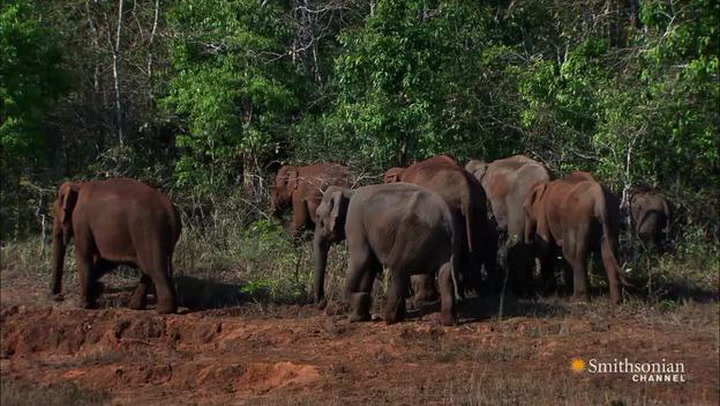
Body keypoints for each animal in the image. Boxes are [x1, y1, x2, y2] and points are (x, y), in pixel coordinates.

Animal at [50, 178, 182, 313]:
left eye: (55, 213)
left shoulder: (81, 221)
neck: (78, 185)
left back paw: (163, 309)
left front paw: (83, 305)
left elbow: (84, 255)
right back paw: (135, 306)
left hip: (150, 231)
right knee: (148, 269)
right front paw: (97, 290)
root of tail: (171, 210)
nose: (59, 296)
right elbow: (105, 262)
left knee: (155, 269)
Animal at [313, 184, 460, 325]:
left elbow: (361, 259)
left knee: (398, 268)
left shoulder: (354, 221)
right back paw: (447, 322)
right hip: (442, 242)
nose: (322, 303)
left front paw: (360, 302)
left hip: (416, 236)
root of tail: (447, 215)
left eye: (319, 217)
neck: (347, 191)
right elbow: (371, 265)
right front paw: (359, 317)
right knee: (445, 274)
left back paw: (389, 319)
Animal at [465, 155, 550, 295]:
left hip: (519, 202)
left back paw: (519, 290)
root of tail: (544, 180)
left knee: (518, 240)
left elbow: (490, 232)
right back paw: (542, 288)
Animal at [524, 172, 630, 304]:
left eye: (525, 210)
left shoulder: (543, 212)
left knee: (574, 254)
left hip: (578, 220)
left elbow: (545, 247)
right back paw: (616, 301)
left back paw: (578, 299)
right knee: (609, 255)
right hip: (611, 219)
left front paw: (547, 292)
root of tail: (599, 198)